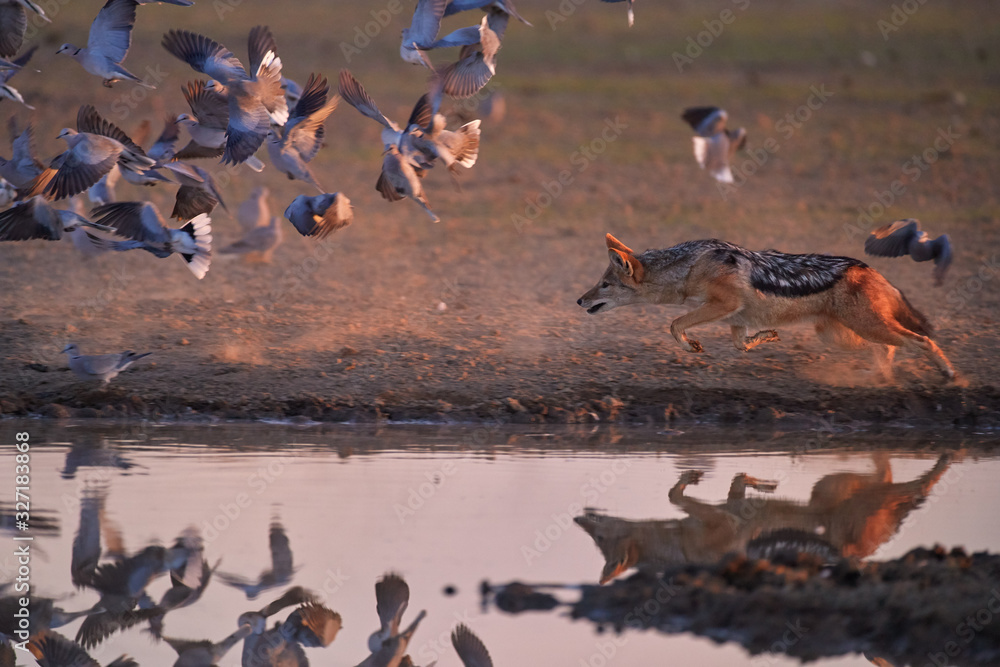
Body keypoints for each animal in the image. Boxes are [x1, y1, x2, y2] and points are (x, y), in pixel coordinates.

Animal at [575, 453, 953, 584]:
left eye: (599, 539)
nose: (579, 519)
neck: (677, 547)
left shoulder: (724, 520)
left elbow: (674, 495)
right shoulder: (732, 508)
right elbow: (738, 483)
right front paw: (762, 484)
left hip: (845, 491)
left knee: (914, 485)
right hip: (837, 488)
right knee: (893, 475)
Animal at [577, 233, 956, 381]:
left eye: (605, 284)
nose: (579, 300)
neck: (690, 266)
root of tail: (871, 270)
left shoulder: (725, 304)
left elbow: (674, 325)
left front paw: (691, 345)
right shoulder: (736, 317)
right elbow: (741, 344)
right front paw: (768, 336)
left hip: (865, 327)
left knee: (921, 341)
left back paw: (949, 374)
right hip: (838, 335)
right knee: (888, 348)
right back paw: (880, 377)